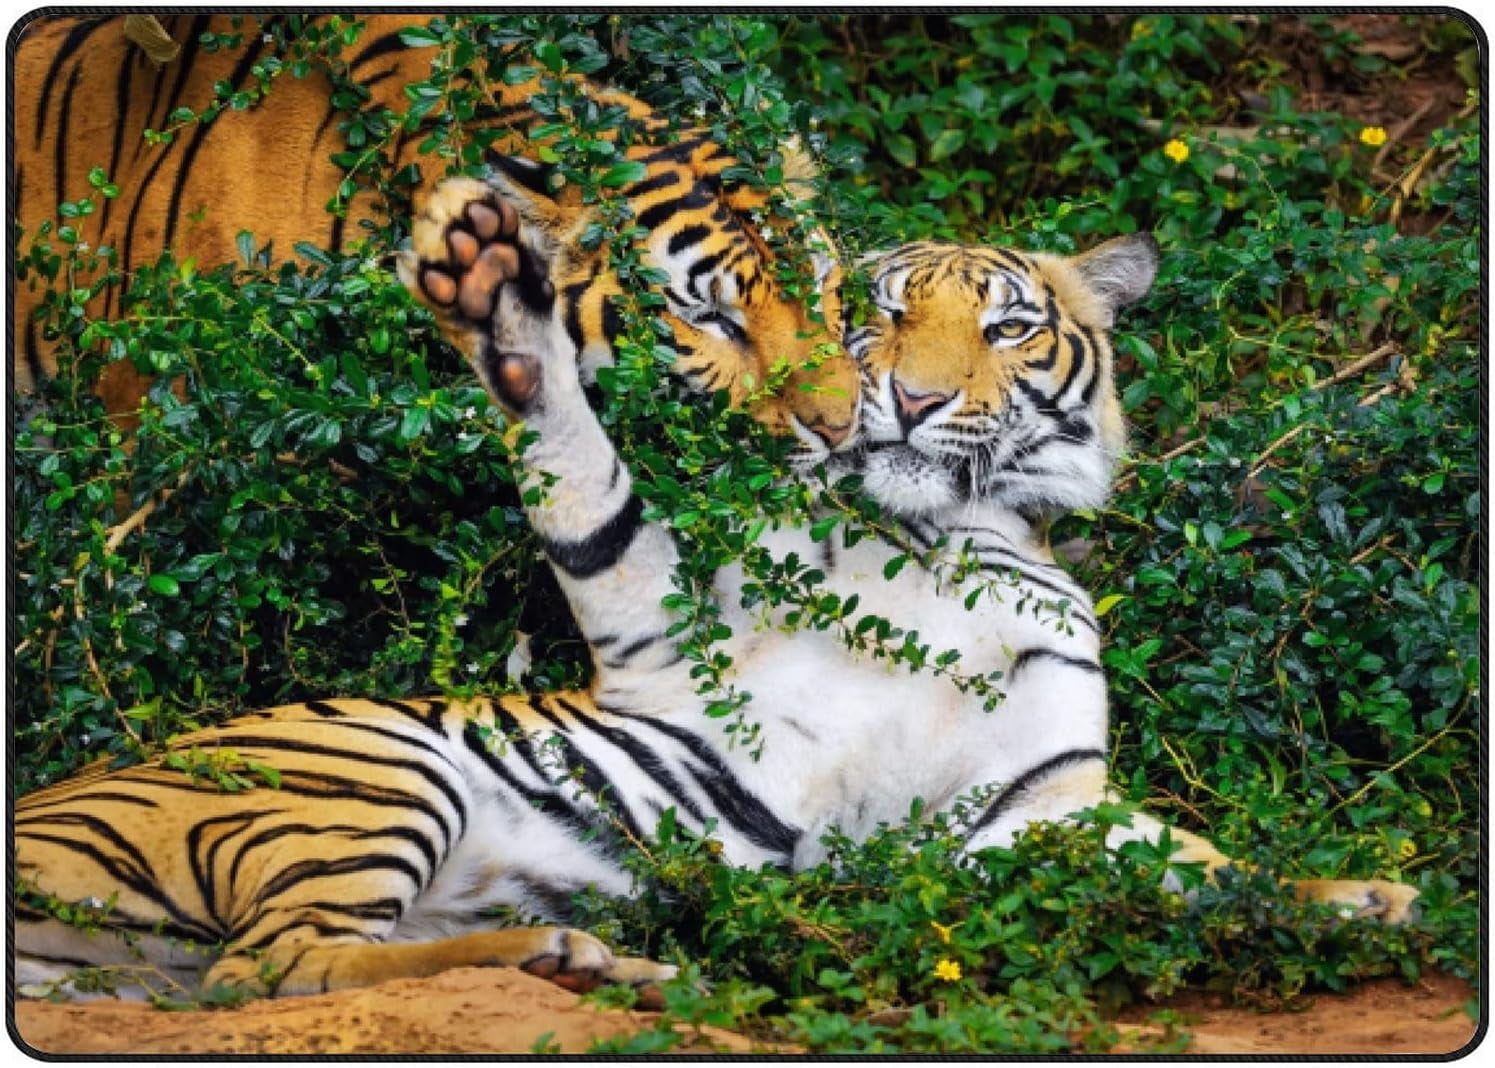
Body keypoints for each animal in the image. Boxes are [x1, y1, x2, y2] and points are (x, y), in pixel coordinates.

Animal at [14, 176, 1420, 1008]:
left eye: (1009, 327)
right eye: (875, 315)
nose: (912, 401)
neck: (939, 535)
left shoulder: (1033, 807)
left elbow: (1203, 864)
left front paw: (1358, 901)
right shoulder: (657, 623)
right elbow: (582, 476)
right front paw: (493, 297)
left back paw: (596, 958)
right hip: (363, 772)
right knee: (277, 965)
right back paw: (570, 958)